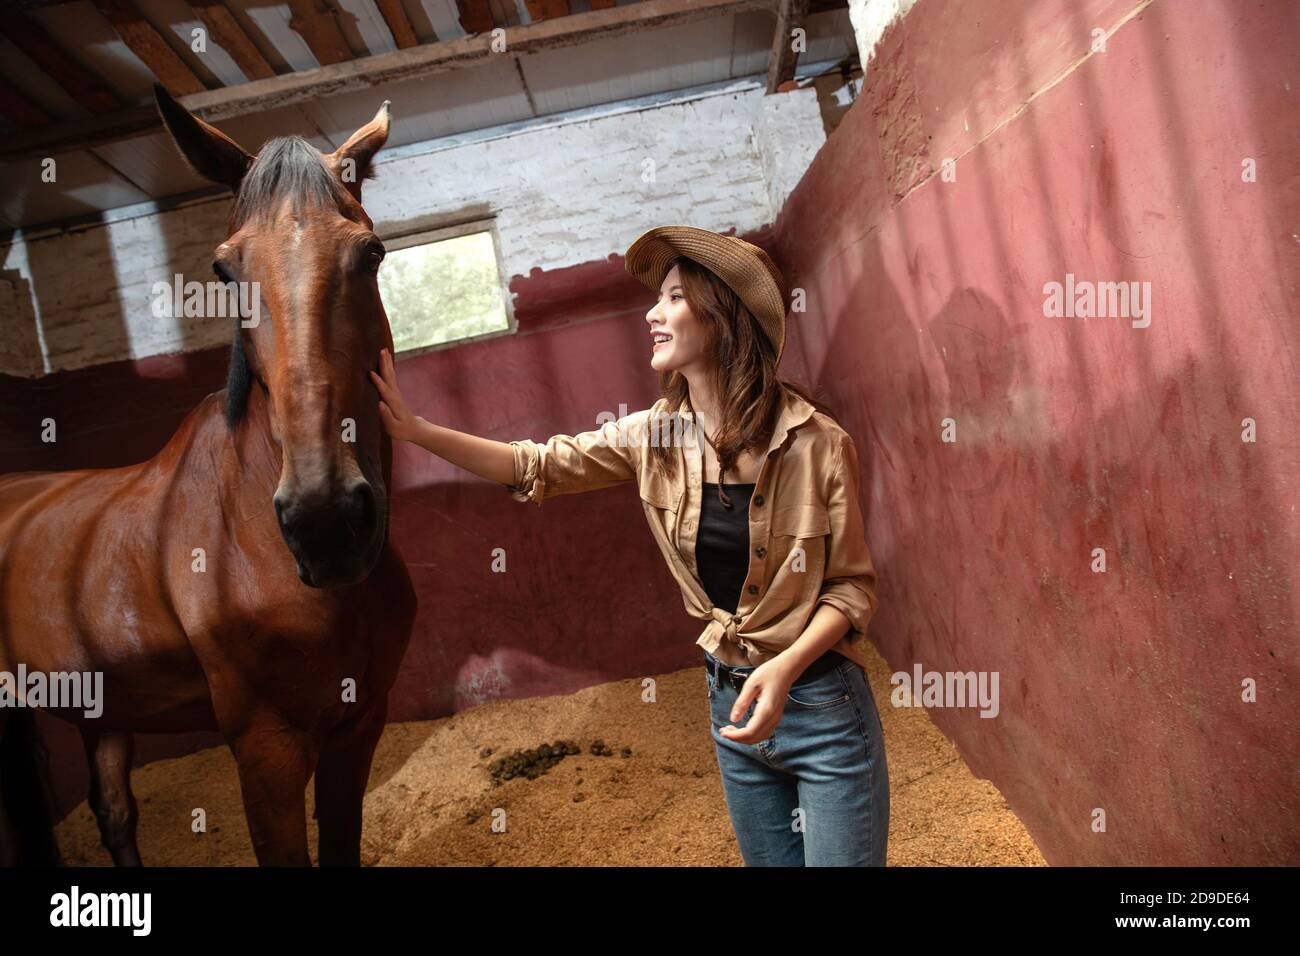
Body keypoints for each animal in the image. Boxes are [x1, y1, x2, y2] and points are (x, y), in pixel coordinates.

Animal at [0, 85, 417, 866]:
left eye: (372, 253)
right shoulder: (266, 753)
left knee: (114, 809)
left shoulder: (360, 724)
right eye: (225, 271)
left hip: (100, 708)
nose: (325, 521)